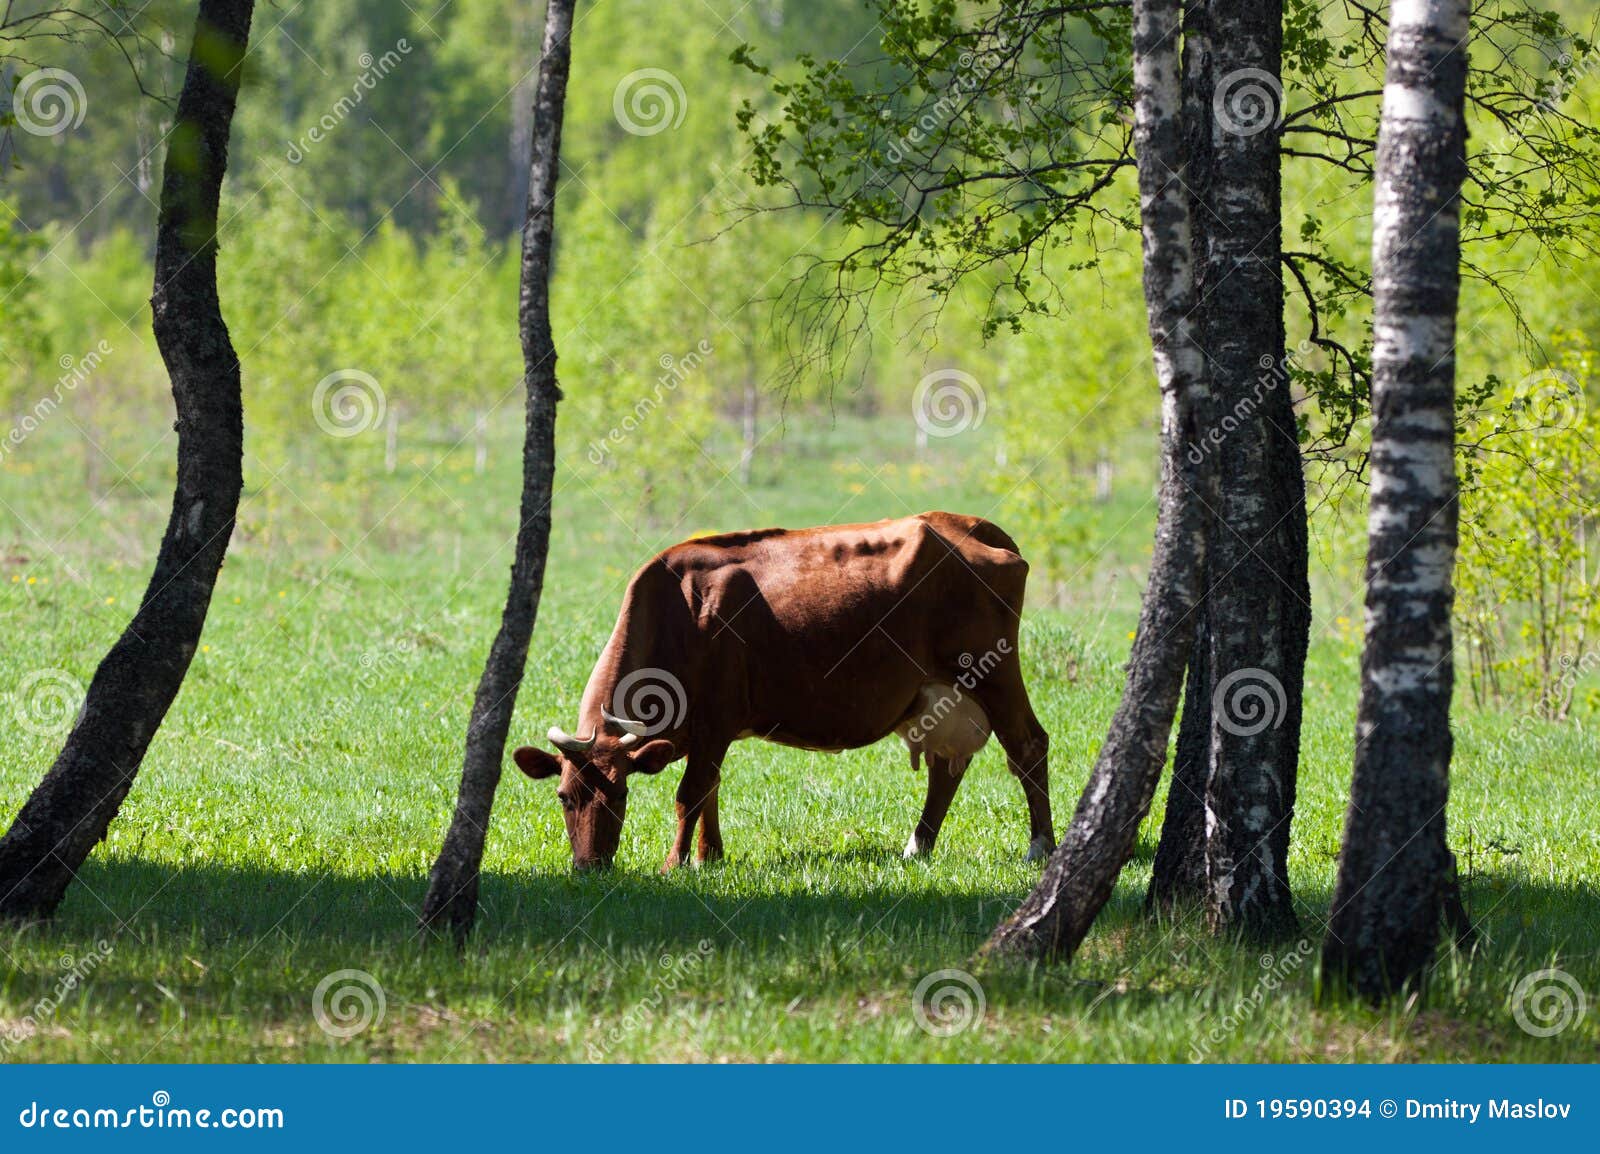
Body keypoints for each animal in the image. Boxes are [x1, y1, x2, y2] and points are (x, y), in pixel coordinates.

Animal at [513, 511, 1055, 871]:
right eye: (563, 796)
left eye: (620, 795)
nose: (589, 867)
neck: (678, 613)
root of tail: (973, 525)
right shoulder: (710, 735)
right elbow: (710, 790)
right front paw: (710, 857)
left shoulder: (714, 722)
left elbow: (690, 793)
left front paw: (675, 864)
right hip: (939, 697)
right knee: (946, 769)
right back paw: (916, 847)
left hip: (993, 672)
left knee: (1028, 746)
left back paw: (1041, 847)